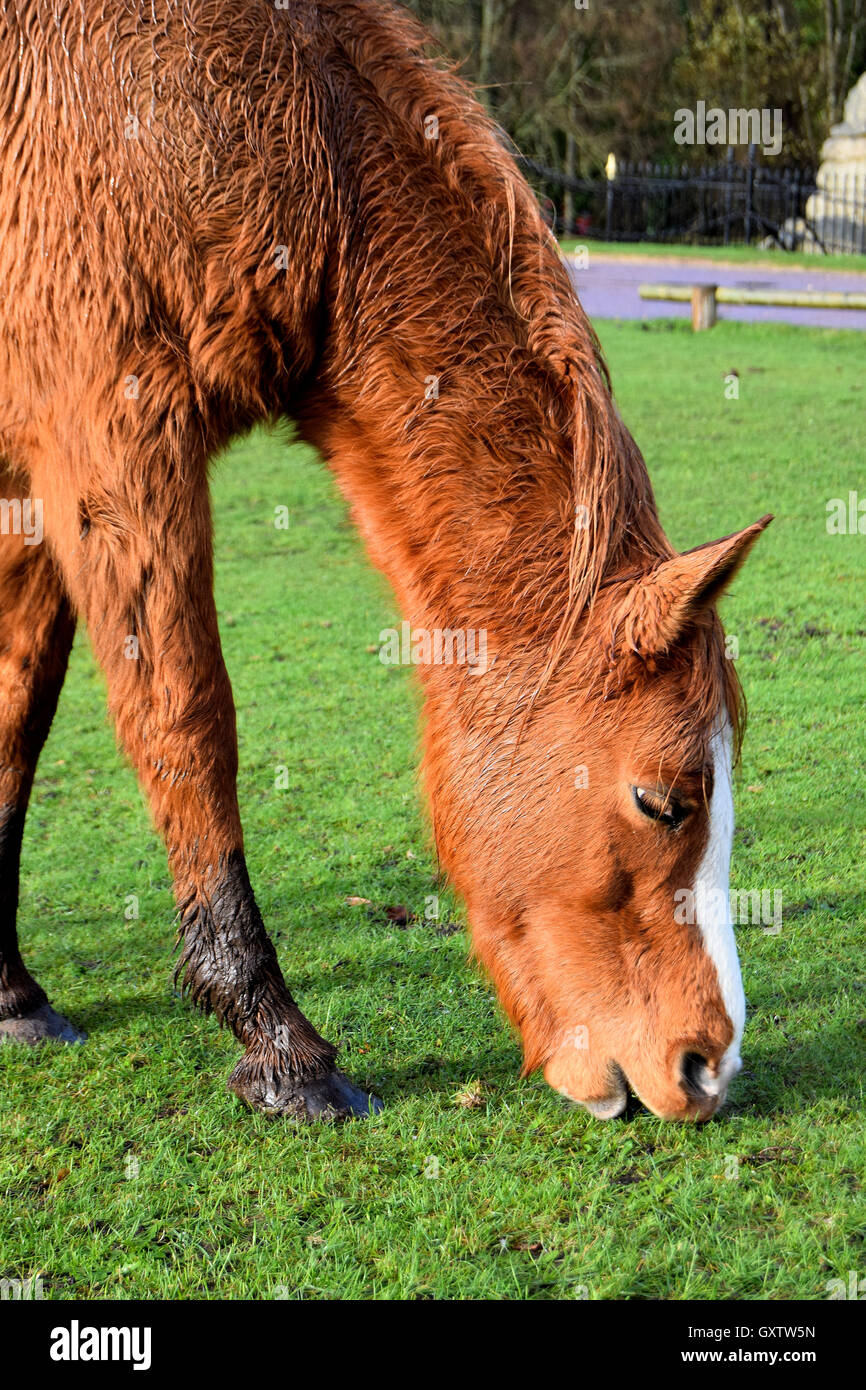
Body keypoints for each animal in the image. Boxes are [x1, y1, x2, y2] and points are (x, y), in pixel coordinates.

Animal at [0, 0, 770, 1122]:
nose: (707, 1066)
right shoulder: (110, 441)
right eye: (662, 799)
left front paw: (10, 991)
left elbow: (17, 714)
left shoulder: (34, 471)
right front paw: (279, 1042)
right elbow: (186, 721)